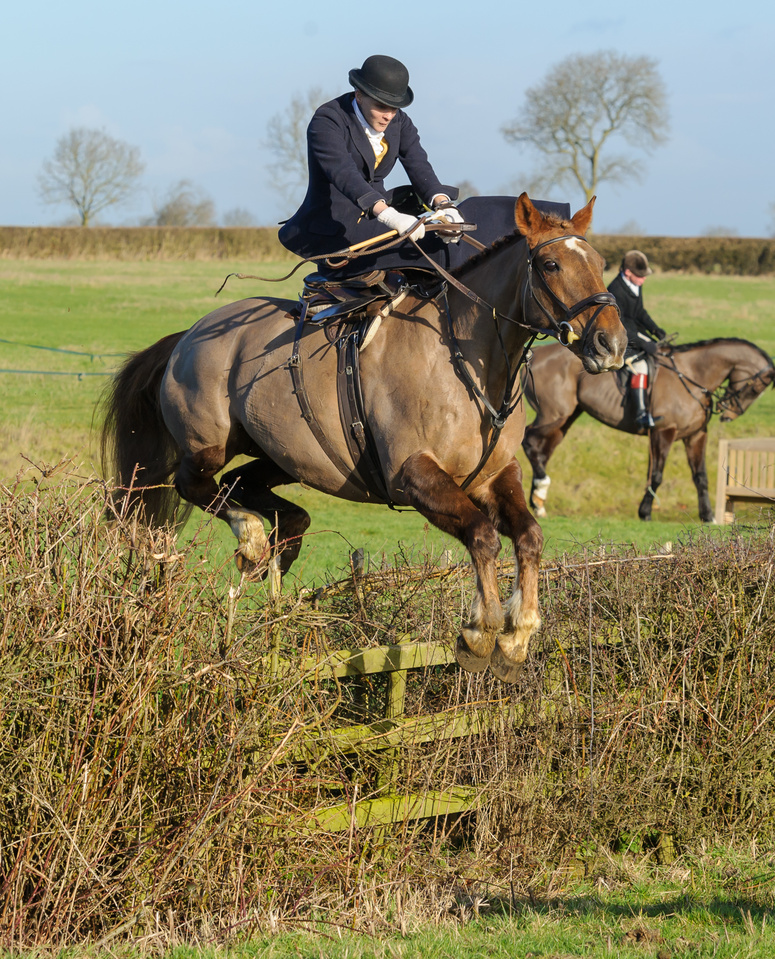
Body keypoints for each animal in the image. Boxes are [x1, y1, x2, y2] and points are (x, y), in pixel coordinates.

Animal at [99, 193, 627, 683]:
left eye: (601, 265)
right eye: (551, 265)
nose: (613, 345)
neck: (470, 361)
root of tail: (191, 333)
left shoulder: (494, 478)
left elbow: (530, 537)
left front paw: (517, 638)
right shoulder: (414, 477)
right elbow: (482, 537)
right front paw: (481, 633)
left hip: (279, 454)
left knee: (245, 487)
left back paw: (277, 553)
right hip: (207, 444)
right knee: (195, 484)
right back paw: (251, 536)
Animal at [521, 337, 775, 522]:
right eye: (755, 389)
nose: (728, 413)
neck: (693, 375)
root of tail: (538, 354)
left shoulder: (696, 435)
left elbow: (700, 477)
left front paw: (708, 516)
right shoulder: (664, 432)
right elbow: (656, 475)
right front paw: (645, 512)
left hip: (566, 418)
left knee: (542, 450)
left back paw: (538, 502)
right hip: (553, 415)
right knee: (529, 441)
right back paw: (540, 491)